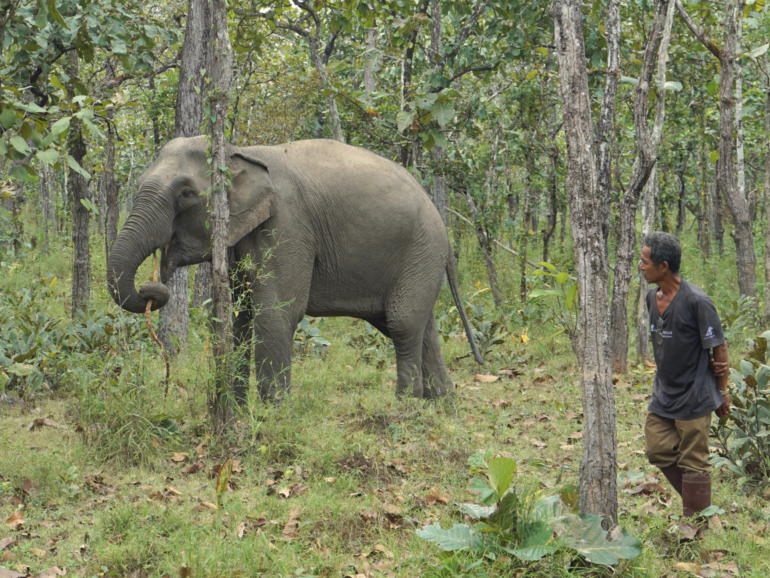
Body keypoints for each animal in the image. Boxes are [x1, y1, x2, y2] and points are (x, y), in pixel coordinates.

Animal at [107, 136, 483, 402]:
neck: (240, 150)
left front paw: (273, 419)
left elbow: (276, 312)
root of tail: (441, 223)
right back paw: (441, 407)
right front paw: (238, 409)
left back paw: (404, 409)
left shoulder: (287, 225)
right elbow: (240, 317)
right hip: (418, 260)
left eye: (186, 193)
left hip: (421, 250)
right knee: (420, 327)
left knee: (403, 324)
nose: (152, 289)